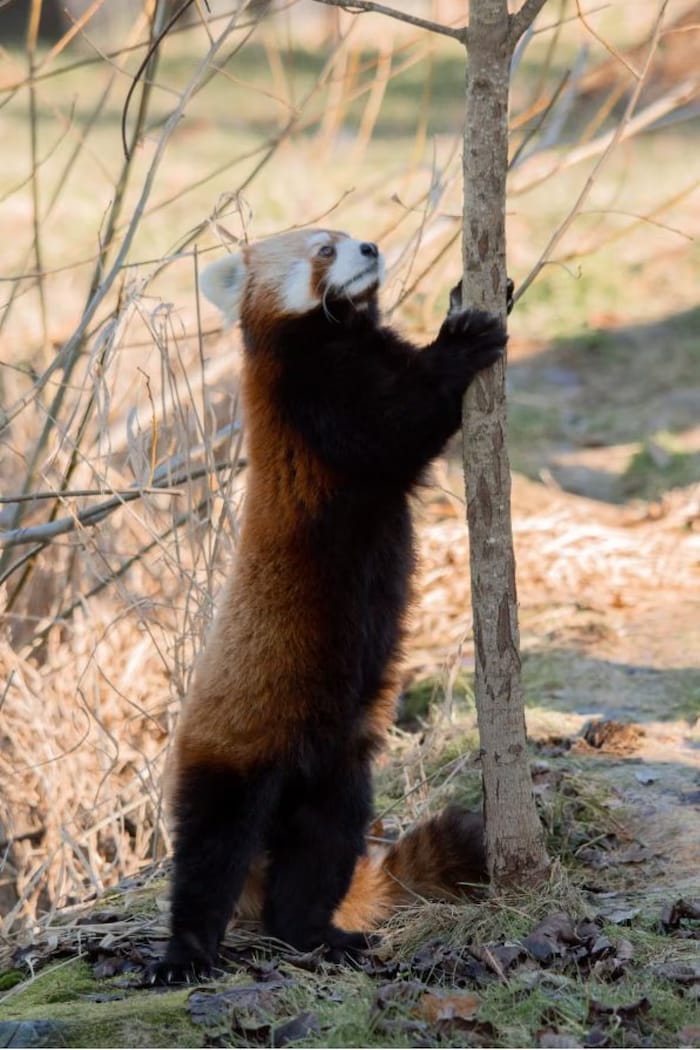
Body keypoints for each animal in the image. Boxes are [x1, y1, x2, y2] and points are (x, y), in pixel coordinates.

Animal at [152, 228, 506, 982]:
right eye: (323, 250)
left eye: (346, 234)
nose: (368, 247)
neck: (340, 336)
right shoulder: (314, 406)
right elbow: (396, 426)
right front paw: (463, 338)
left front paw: (474, 292)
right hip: (237, 746)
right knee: (210, 853)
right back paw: (185, 952)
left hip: (339, 771)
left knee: (318, 853)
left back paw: (318, 936)